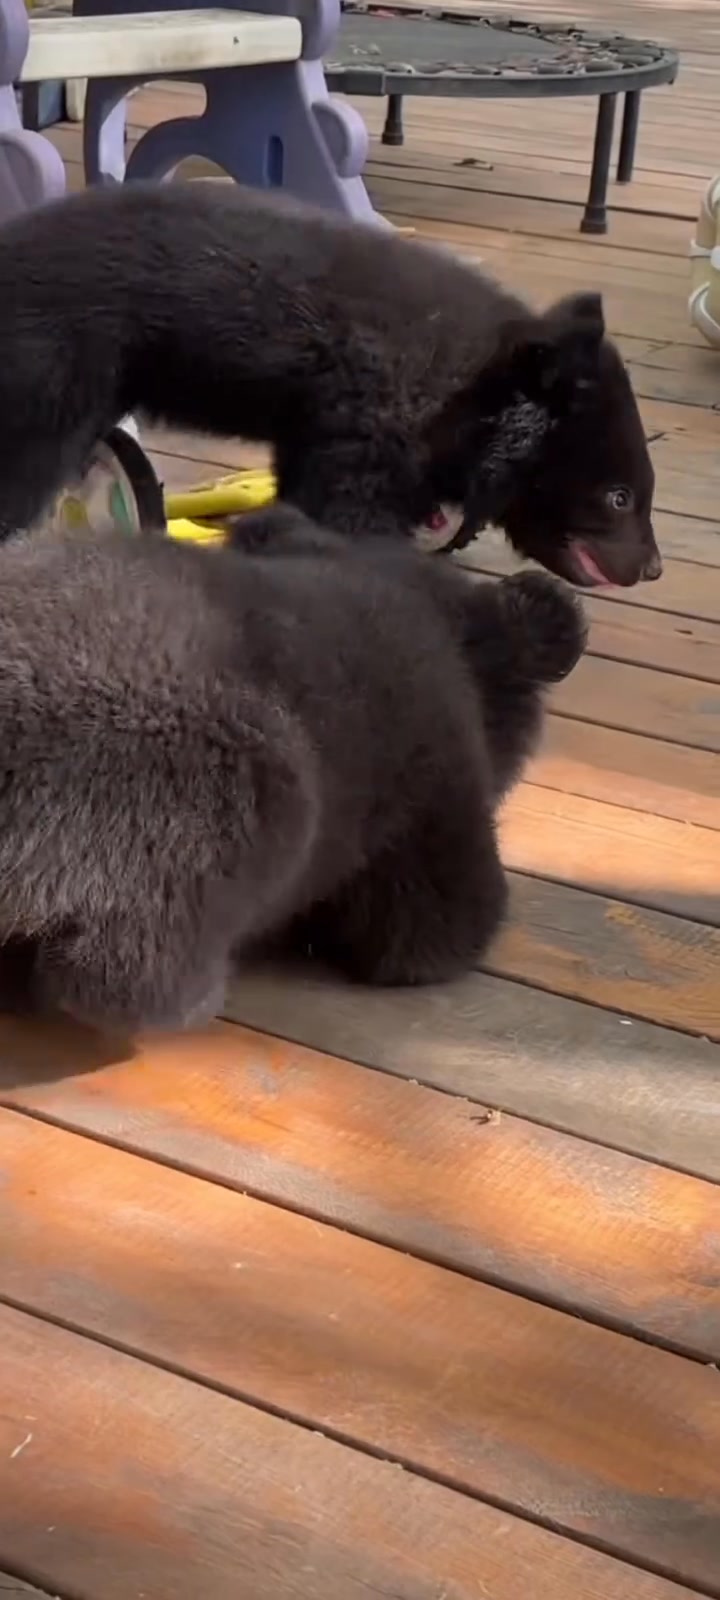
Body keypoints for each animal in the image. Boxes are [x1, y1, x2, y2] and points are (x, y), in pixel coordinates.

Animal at [0, 180, 659, 588]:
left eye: (636, 492)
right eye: (618, 497)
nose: (652, 568)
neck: (472, 392)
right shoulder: (366, 429)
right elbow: (346, 521)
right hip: (49, 382)